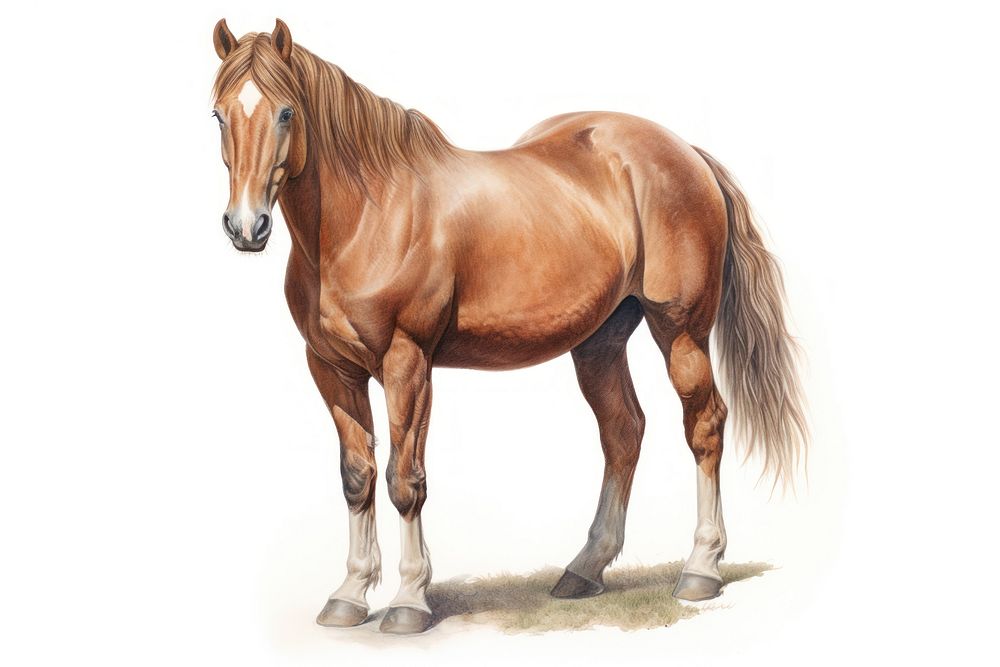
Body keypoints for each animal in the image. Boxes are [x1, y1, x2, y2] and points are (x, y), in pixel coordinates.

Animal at [210, 18, 807, 635]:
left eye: (286, 112)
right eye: (219, 114)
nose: (246, 226)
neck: (370, 215)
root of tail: (687, 153)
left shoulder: (408, 363)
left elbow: (405, 479)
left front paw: (408, 601)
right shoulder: (331, 368)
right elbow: (358, 476)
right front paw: (349, 596)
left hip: (681, 331)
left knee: (704, 425)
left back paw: (701, 569)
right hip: (599, 342)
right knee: (623, 431)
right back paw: (584, 571)